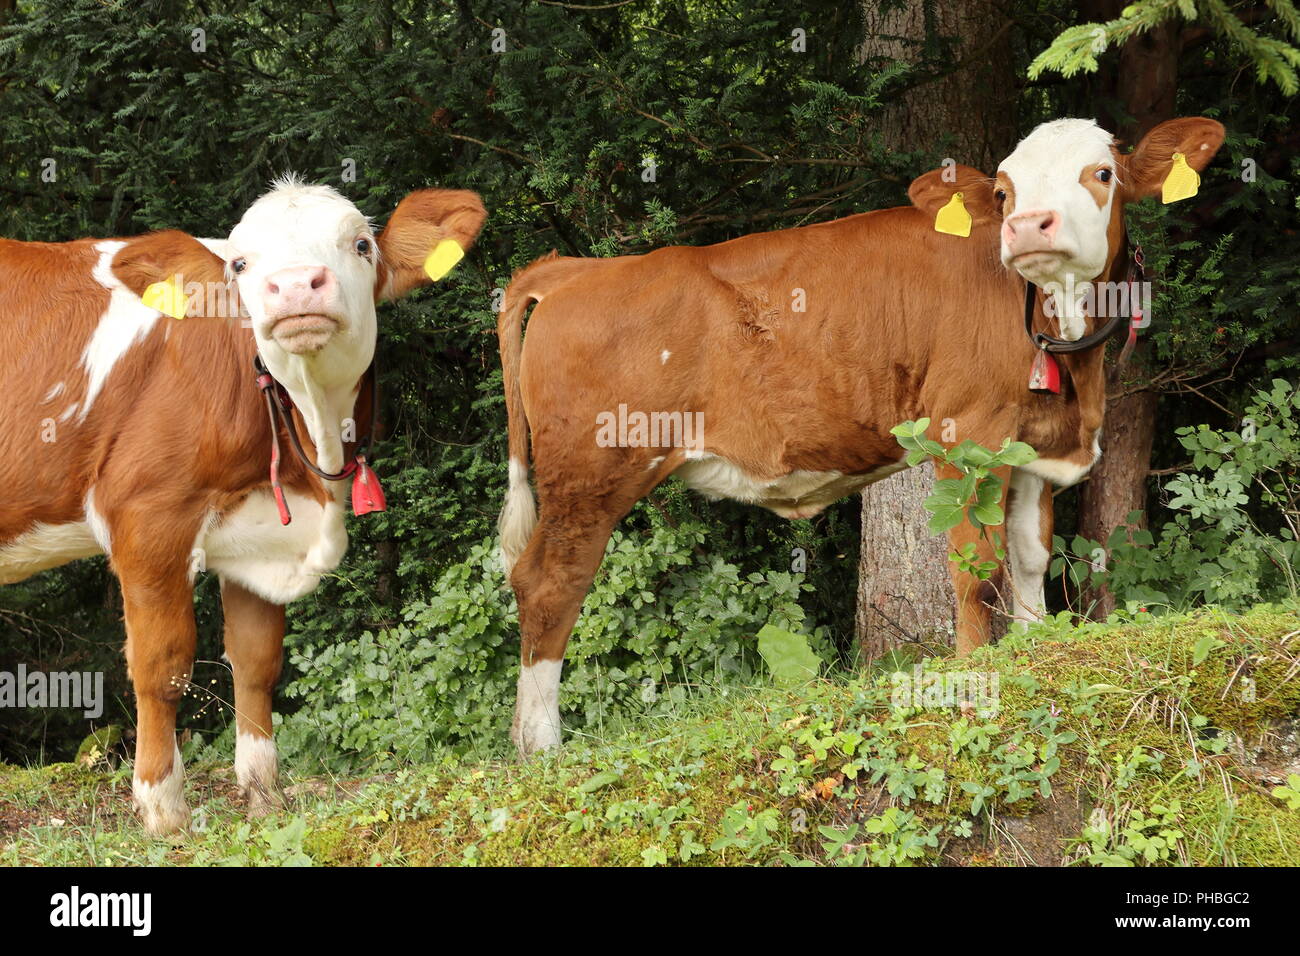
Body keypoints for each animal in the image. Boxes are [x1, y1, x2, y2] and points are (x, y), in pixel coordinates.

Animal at [0, 179, 487, 833]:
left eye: (361, 245)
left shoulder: (262, 532)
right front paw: (163, 808)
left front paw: (263, 793)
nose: (296, 284)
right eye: (240, 266)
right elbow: (162, 666)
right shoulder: (146, 517)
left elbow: (257, 662)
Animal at [495, 116, 1224, 755]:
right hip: (592, 471)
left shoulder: (1034, 443)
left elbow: (1028, 555)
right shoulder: (964, 432)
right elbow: (974, 567)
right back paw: (541, 746)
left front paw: (1033, 647)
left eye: (1102, 173)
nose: (1025, 227)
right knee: (549, 581)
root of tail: (579, 268)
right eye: (1003, 192)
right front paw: (974, 674)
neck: (1071, 358)